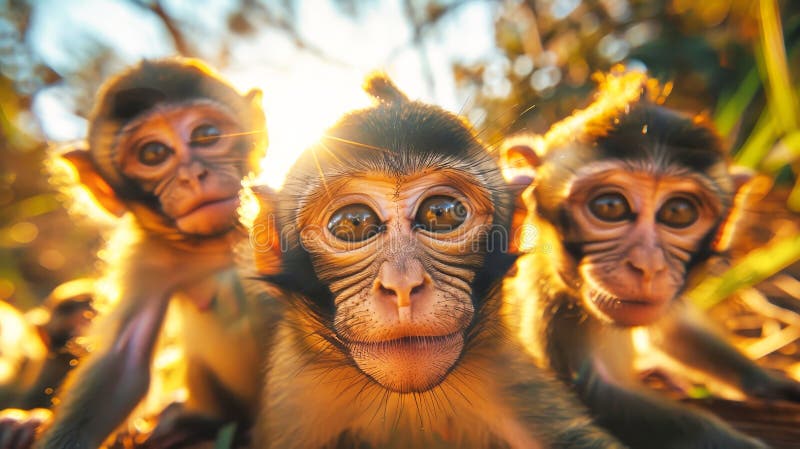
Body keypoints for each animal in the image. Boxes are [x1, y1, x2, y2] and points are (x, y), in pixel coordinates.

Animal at [26, 57, 269, 449]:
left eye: (206, 135)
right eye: (153, 154)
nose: (193, 175)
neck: (217, 241)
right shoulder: (148, 257)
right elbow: (124, 361)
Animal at [499, 69, 800, 449]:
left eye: (677, 212)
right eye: (610, 207)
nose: (648, 266)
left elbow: (671, 331)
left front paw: (773, 384)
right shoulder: (548, 301)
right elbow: (591, 398)